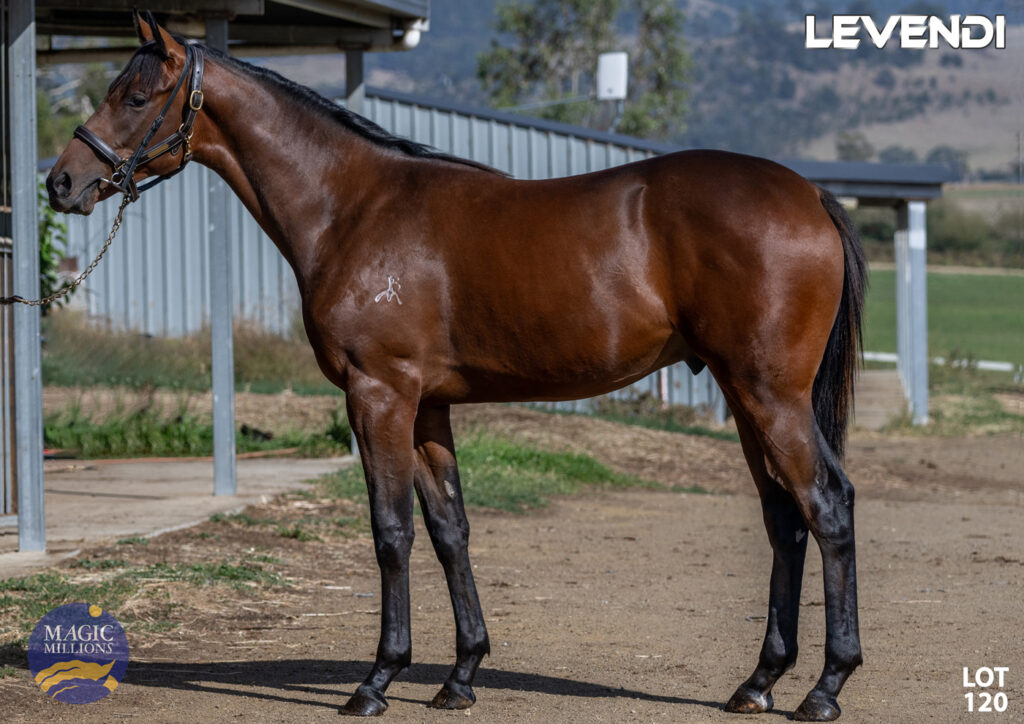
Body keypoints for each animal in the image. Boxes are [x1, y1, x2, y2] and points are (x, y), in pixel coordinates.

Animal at [46, 13, 865, 721]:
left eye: (134, 96)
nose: (60, 182)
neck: (354, 208)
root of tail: (810, 195)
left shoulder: (379, 395)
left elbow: (391, 531)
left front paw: (378, 680)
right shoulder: (429, 406)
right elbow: (450, 530)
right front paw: (461, 674)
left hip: (770, 395)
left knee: (826, 505)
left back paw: (824, 688)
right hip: (744, 395)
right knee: (784, 519)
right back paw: (759, 682)